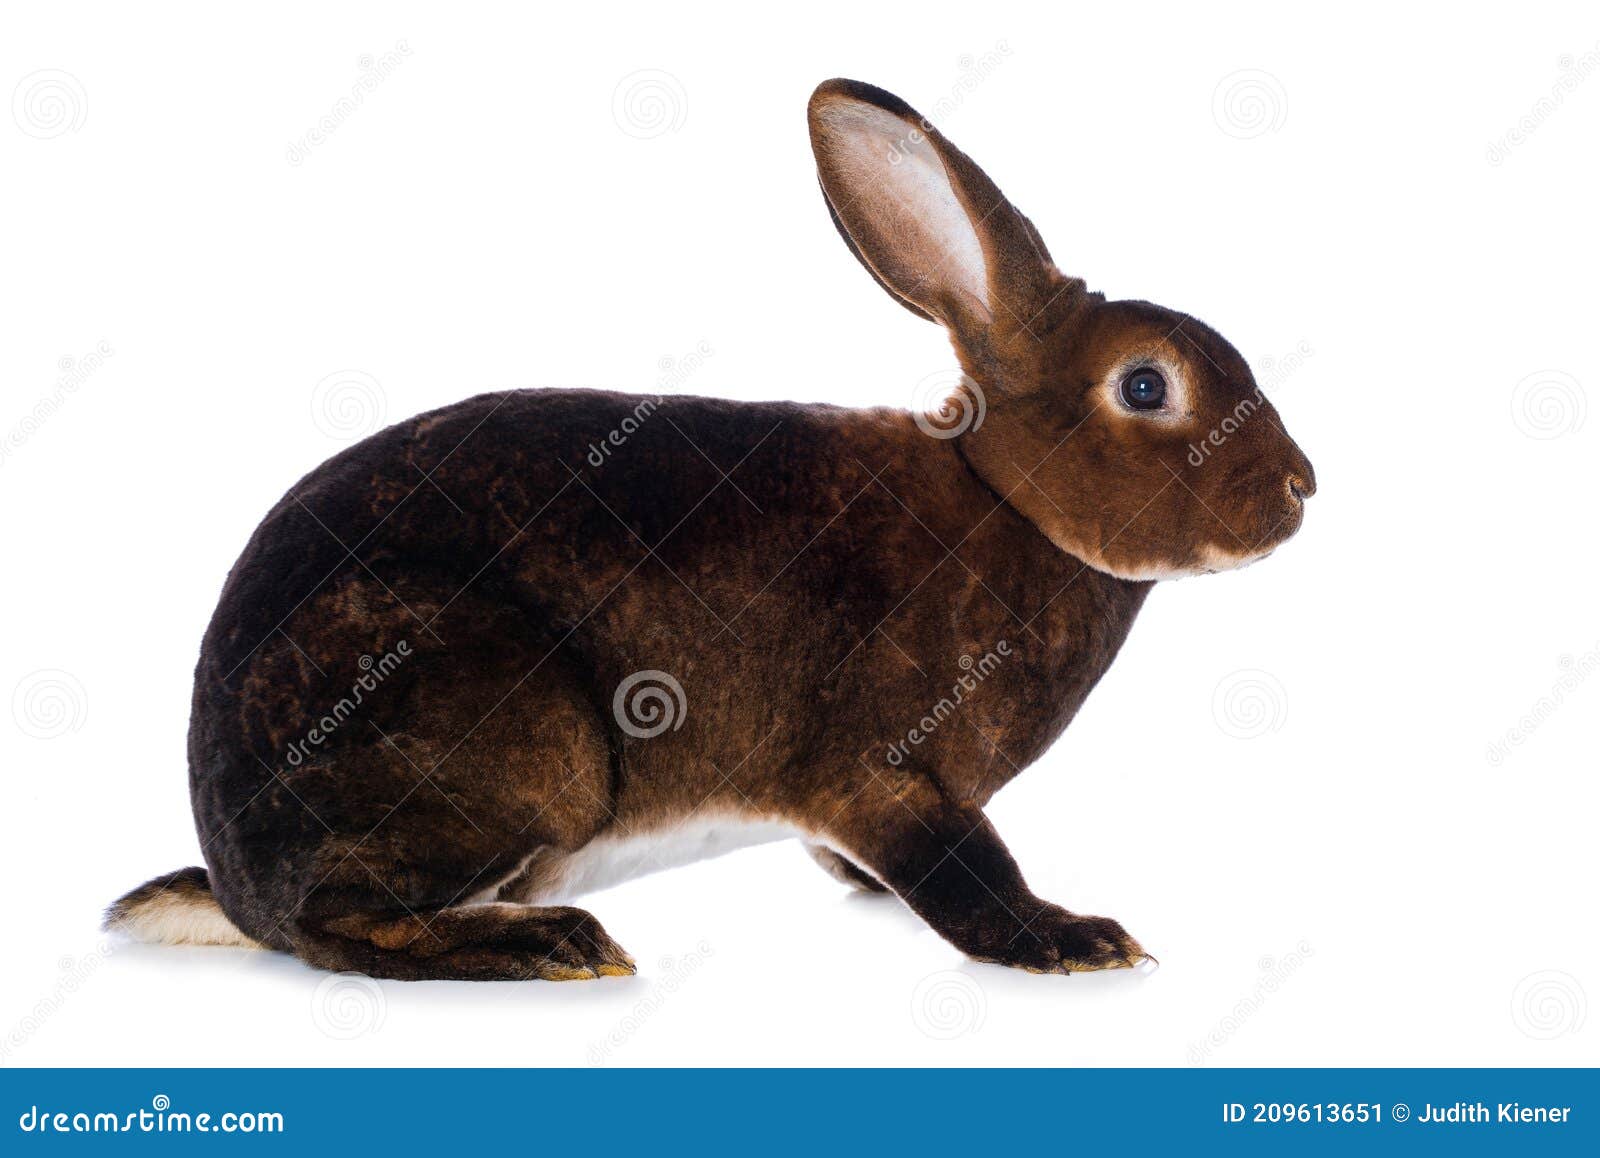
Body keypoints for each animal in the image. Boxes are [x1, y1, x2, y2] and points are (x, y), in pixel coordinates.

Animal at [106, 78, 1314, 981]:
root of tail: (233, 877)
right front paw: (1071, 940)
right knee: (343, 927)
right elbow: (964, 877)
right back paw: (555, 946)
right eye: (1147, 387)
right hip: (510, 738)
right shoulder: (882, 772)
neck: (1002, 497)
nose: (1302, 488)